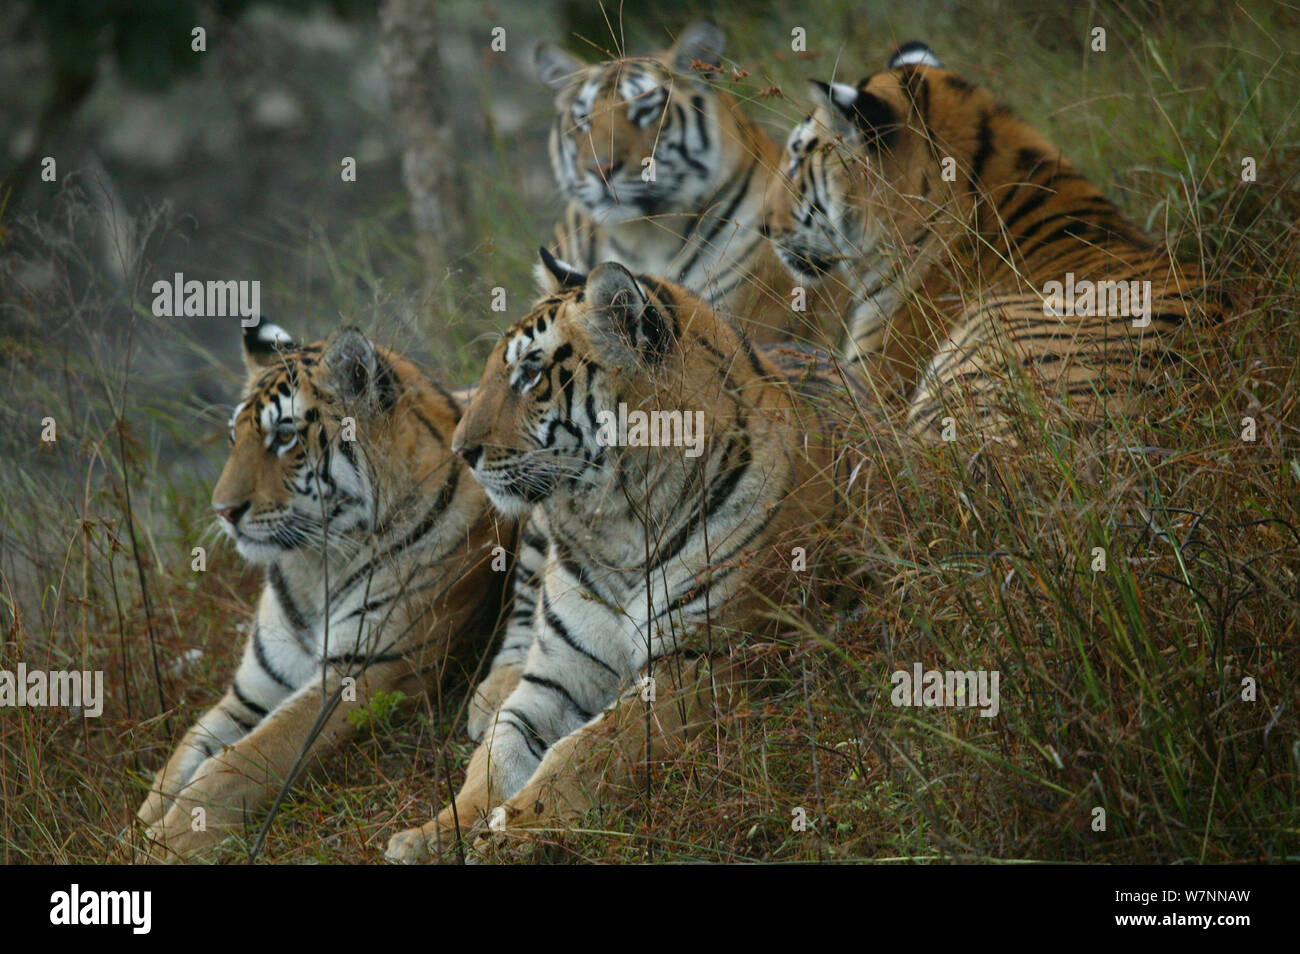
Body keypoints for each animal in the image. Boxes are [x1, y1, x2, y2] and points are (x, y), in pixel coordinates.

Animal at [132, 321, 511, 861]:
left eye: (284, 436)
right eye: (233, 437)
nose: (223, 511)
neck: (314, 564)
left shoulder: (361, 675)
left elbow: (237, 761)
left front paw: (169, 841)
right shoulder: (250, 690)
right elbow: (179, 761)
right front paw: (133, 832)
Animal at [384, 250, 863, 863]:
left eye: (530, 374)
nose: (461, 451)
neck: (614, 526)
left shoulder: (699, 661)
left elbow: (583, 754)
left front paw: (507, 837)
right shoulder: (556, 675)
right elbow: (494, 758)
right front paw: (431, 835)